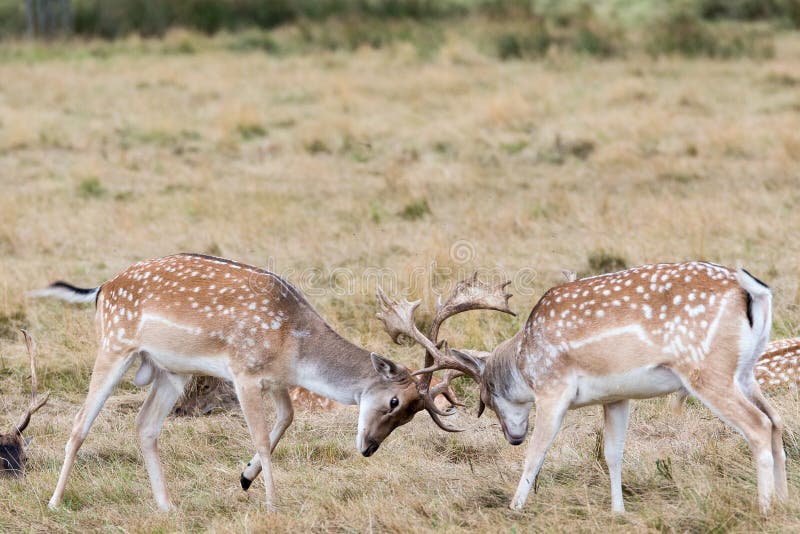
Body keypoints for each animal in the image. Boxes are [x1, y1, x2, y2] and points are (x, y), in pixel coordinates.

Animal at [33, 253, 511, 511]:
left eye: (411, 416)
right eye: (395, 402)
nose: (369, 448)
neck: (293, 343)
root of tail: (100, 289)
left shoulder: (277, 380)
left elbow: (287, 419)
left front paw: (245, 479)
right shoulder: (243, 372)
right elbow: (263, 437)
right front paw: (269, 501)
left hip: (172, 371)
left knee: (145, 426)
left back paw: (167, 506)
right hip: (114, 345)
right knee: (79, 424)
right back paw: (55, 502)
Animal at [376, 262, 787, 514]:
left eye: (487, 398)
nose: (512, 437)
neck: (525, 357)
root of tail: (754, 292)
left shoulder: (553, 391)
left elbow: (538, 453)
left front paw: (515, 506)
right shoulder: (617, 397)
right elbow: (613, 453)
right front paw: (618, 511)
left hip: (707, 371)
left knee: (757, 425)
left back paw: (765, 507)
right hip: (745, 373)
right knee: (776, 421)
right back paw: (784, 501)